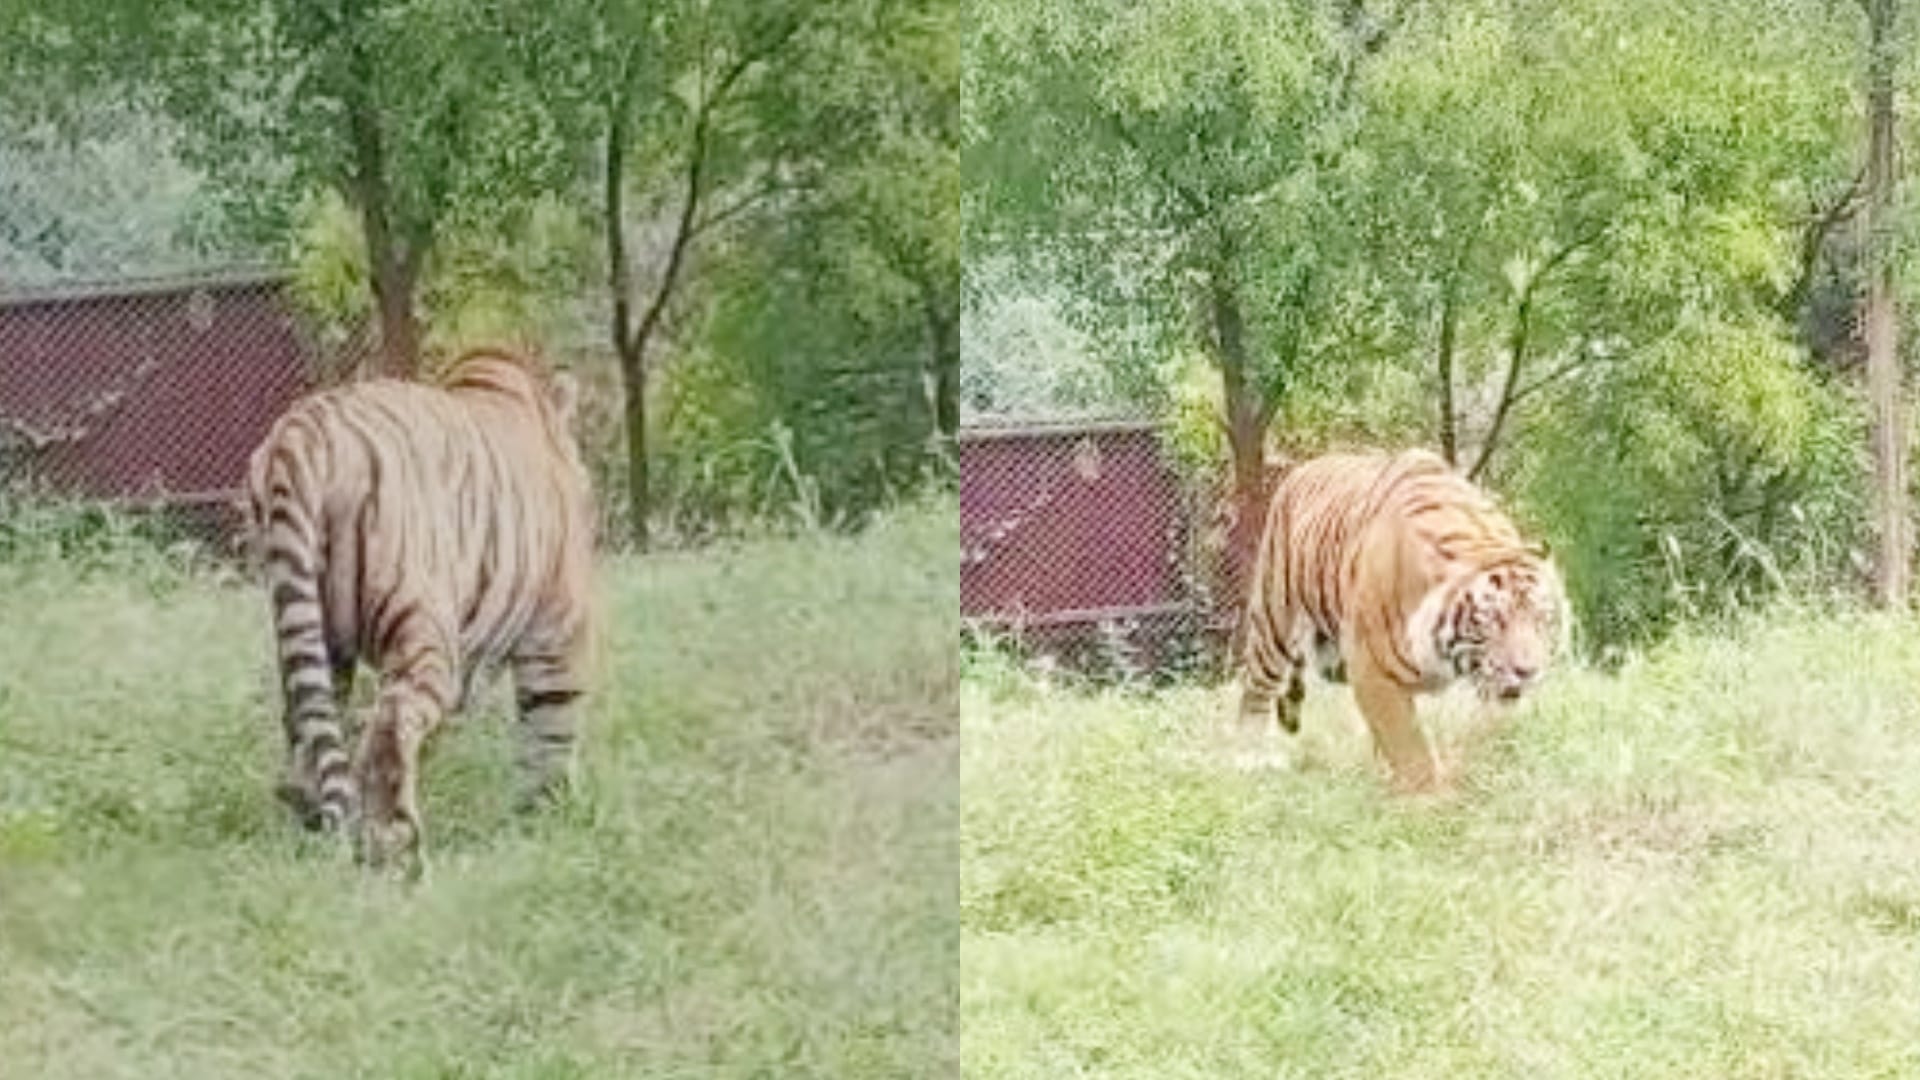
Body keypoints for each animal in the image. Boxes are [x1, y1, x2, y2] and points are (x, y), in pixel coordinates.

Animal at [243, 348, 596, 868]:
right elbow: (551, 724)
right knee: (392, 720)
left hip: (309, 626)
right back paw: (396, 844)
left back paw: (308, 816)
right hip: (417, 616)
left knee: (310, 723)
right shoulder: (558, 624)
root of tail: (300, 436)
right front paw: (550, 819)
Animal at [1232, 448, 1566, 791]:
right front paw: (1430, 797)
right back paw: (1249, 759)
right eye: (1492, 620)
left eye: (1543, 619)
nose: (1527, 671)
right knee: (1257, 690)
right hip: (1274, 619)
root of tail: (1302, 468)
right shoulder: (1372, 670)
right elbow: (1410, 748)